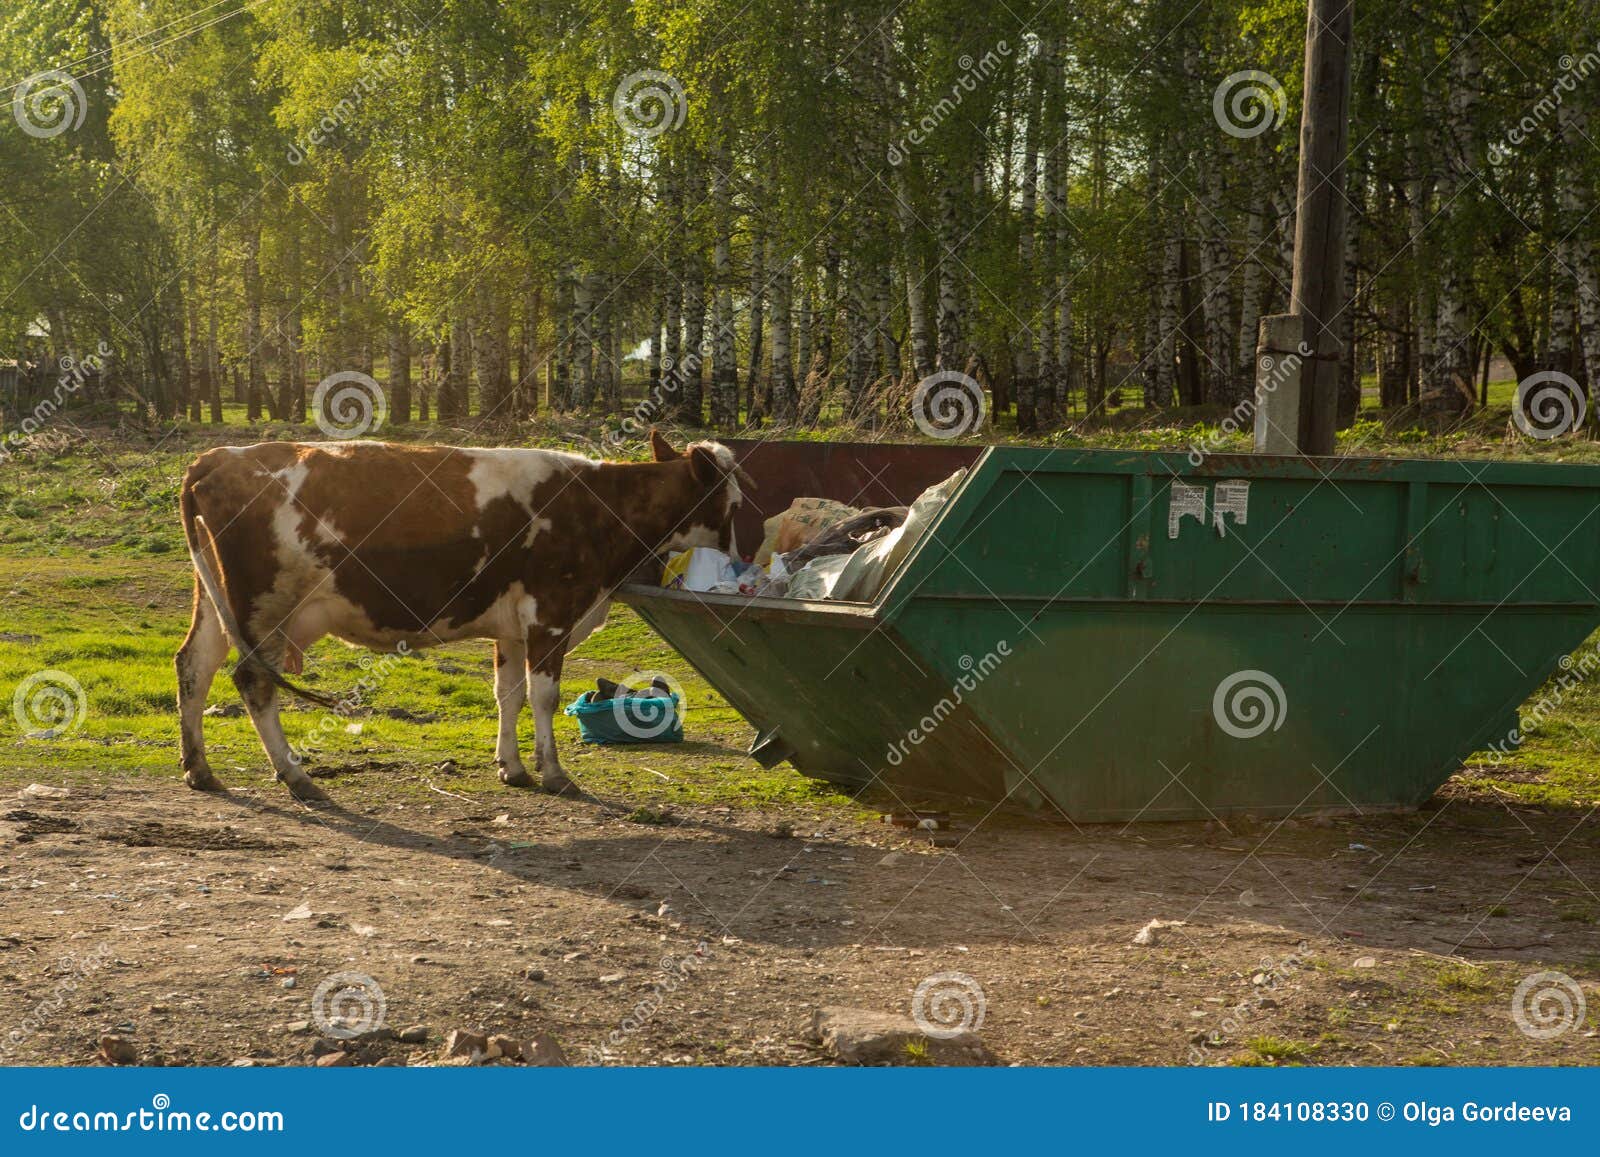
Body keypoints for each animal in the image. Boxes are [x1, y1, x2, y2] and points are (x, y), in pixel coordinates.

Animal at [175, 430, 746, 803]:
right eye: (736, 503)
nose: (744, 553)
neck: (600, 508)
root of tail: (219, 456)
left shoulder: (513, 629)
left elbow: (508, 695)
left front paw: (512, 767)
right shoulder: (551, 615)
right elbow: (544, 697)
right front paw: (554, 773)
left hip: (219, 603)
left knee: (194, 666)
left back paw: (200, 770)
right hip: (266, 606)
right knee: (253, 682)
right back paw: (295, 777)